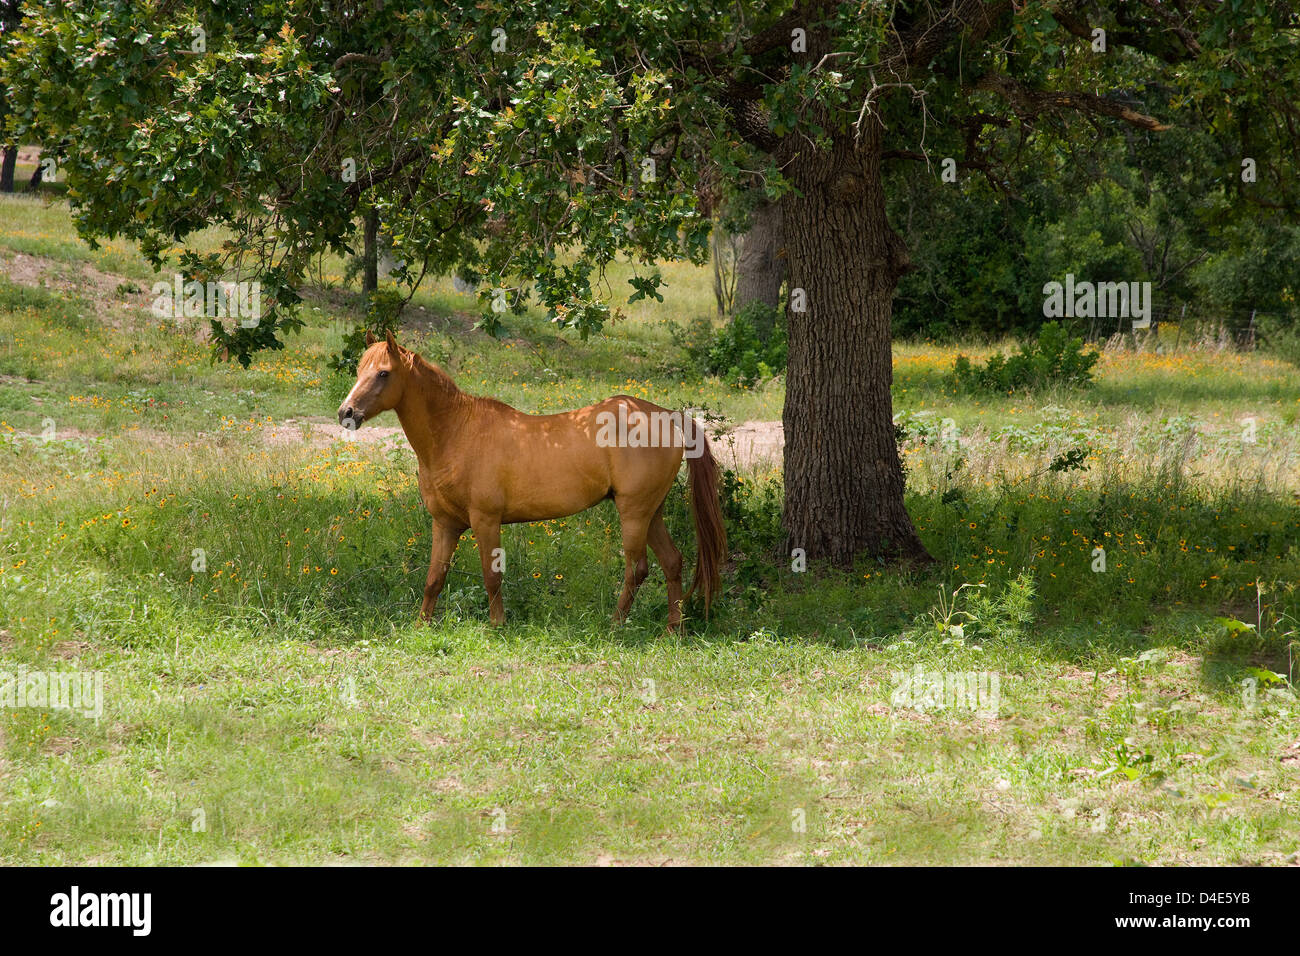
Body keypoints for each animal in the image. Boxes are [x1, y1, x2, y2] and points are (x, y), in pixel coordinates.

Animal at [337, 330, 727, 630]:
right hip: (651, 513)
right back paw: (673, 629)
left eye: (383, 373)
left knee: (638, 570)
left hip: (634, 513)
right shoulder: (445, 524)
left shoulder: (485, 520)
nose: (346, 413)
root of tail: (667, 415)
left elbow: (491, 575)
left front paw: (497, 625)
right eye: (358, 369)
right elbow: (435, 578)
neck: (457, 432)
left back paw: (615, 625)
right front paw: (422, 625)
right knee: (672, 562)